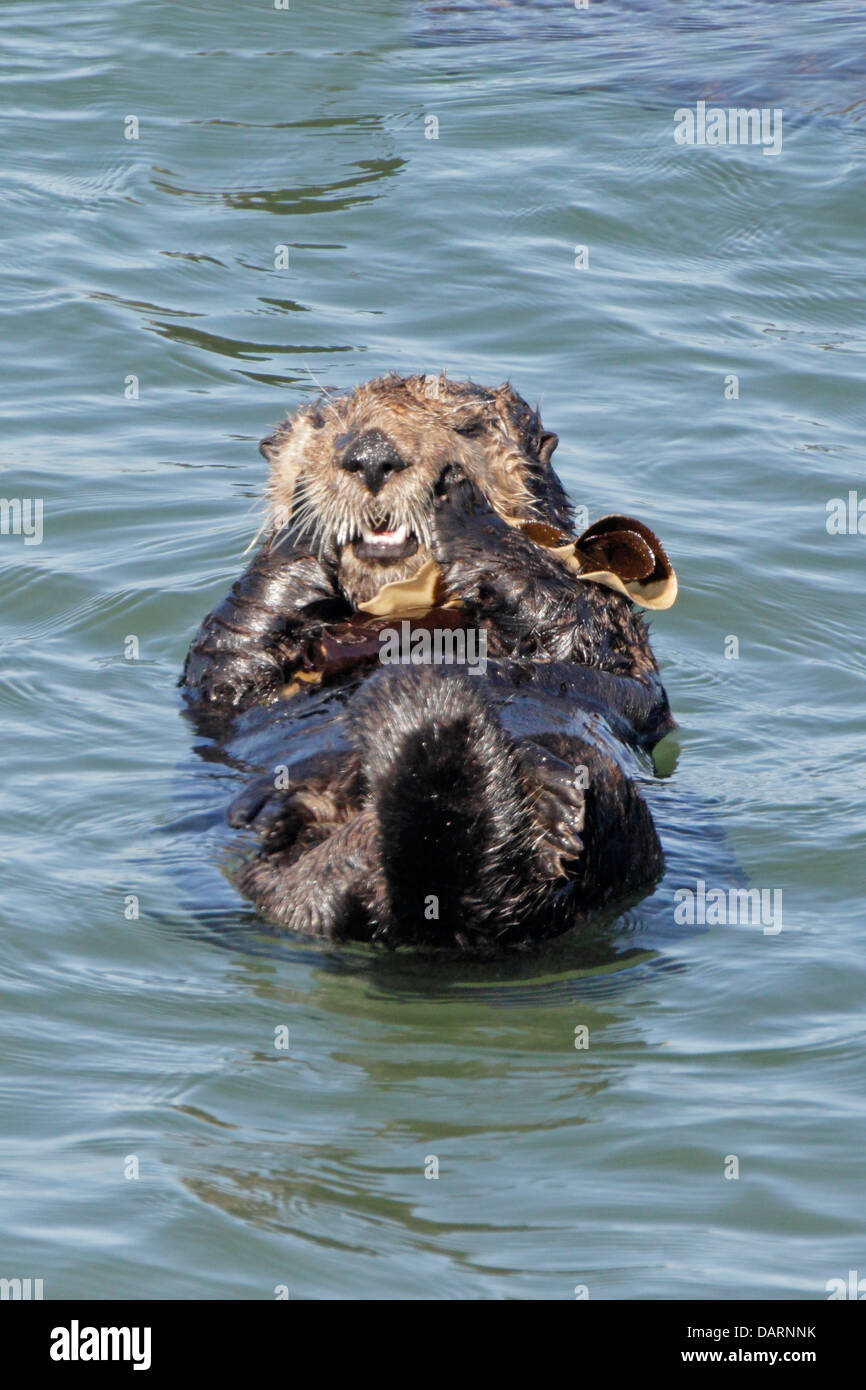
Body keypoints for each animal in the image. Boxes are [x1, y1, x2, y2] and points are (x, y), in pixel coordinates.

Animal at [181, 373, 677, 950]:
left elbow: (583, 633)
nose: (371, 454)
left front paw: (467, 513)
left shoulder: (614, 625)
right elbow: (225, 667)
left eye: (467, 428)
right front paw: (300, 524)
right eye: (325, 426)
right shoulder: (224, 688)